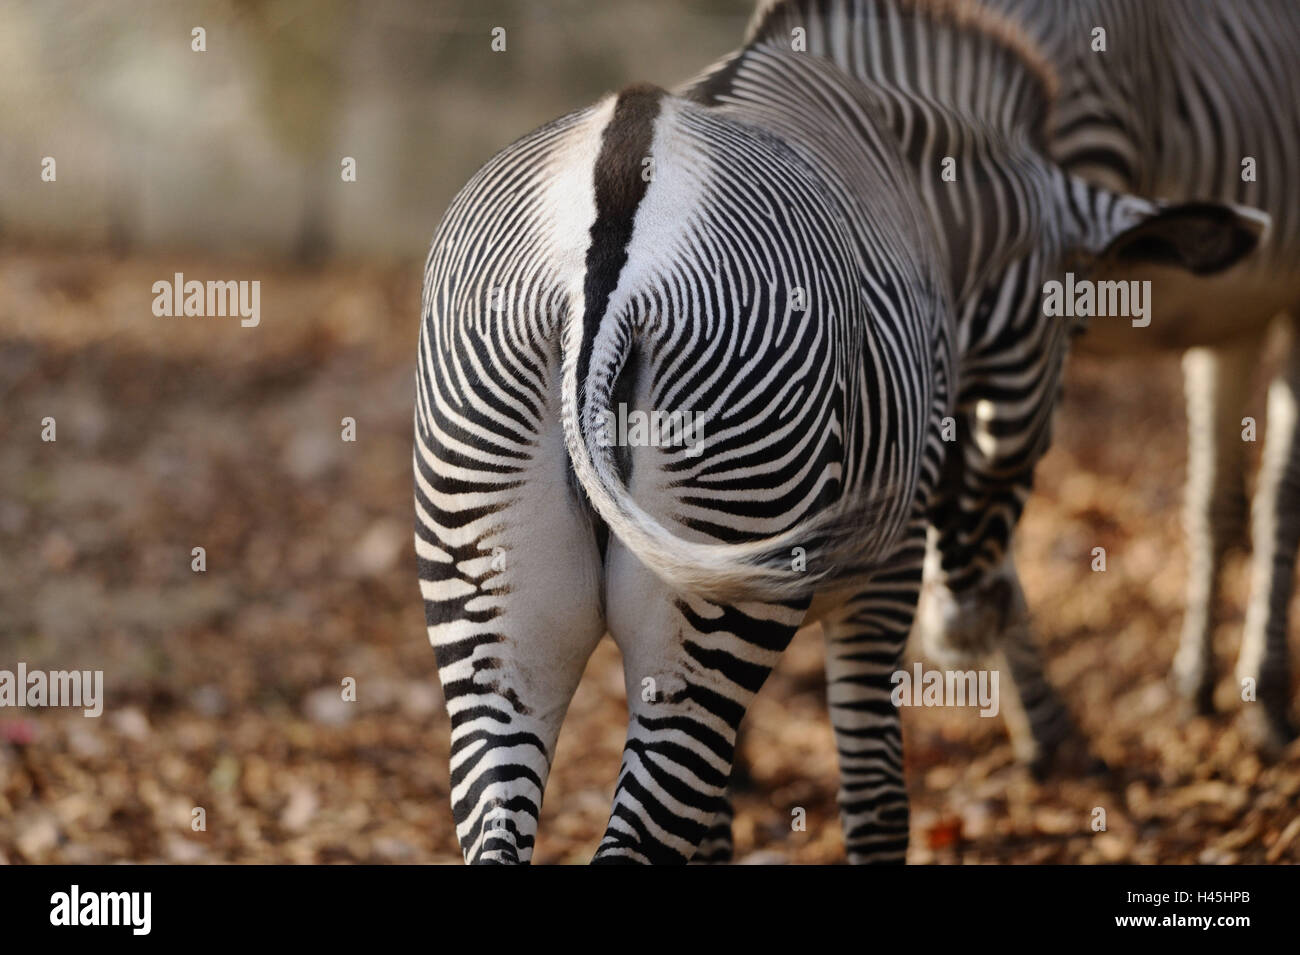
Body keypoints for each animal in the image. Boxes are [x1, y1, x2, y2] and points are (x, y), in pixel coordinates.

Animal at [414, 0, 1264, 863]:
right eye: (1069, 336)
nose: (973, 625)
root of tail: (616, 198)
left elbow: (713, 831)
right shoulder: (887, 574)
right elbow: (878, 803)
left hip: (492, 596)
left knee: (503, 817)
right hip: (715, 579)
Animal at [960, 0, 1300, 754]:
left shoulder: (1230, 320)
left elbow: (1217, 502)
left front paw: (1200, 682)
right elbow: (1282, 499)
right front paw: (1267, 695)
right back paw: (1046, 726)